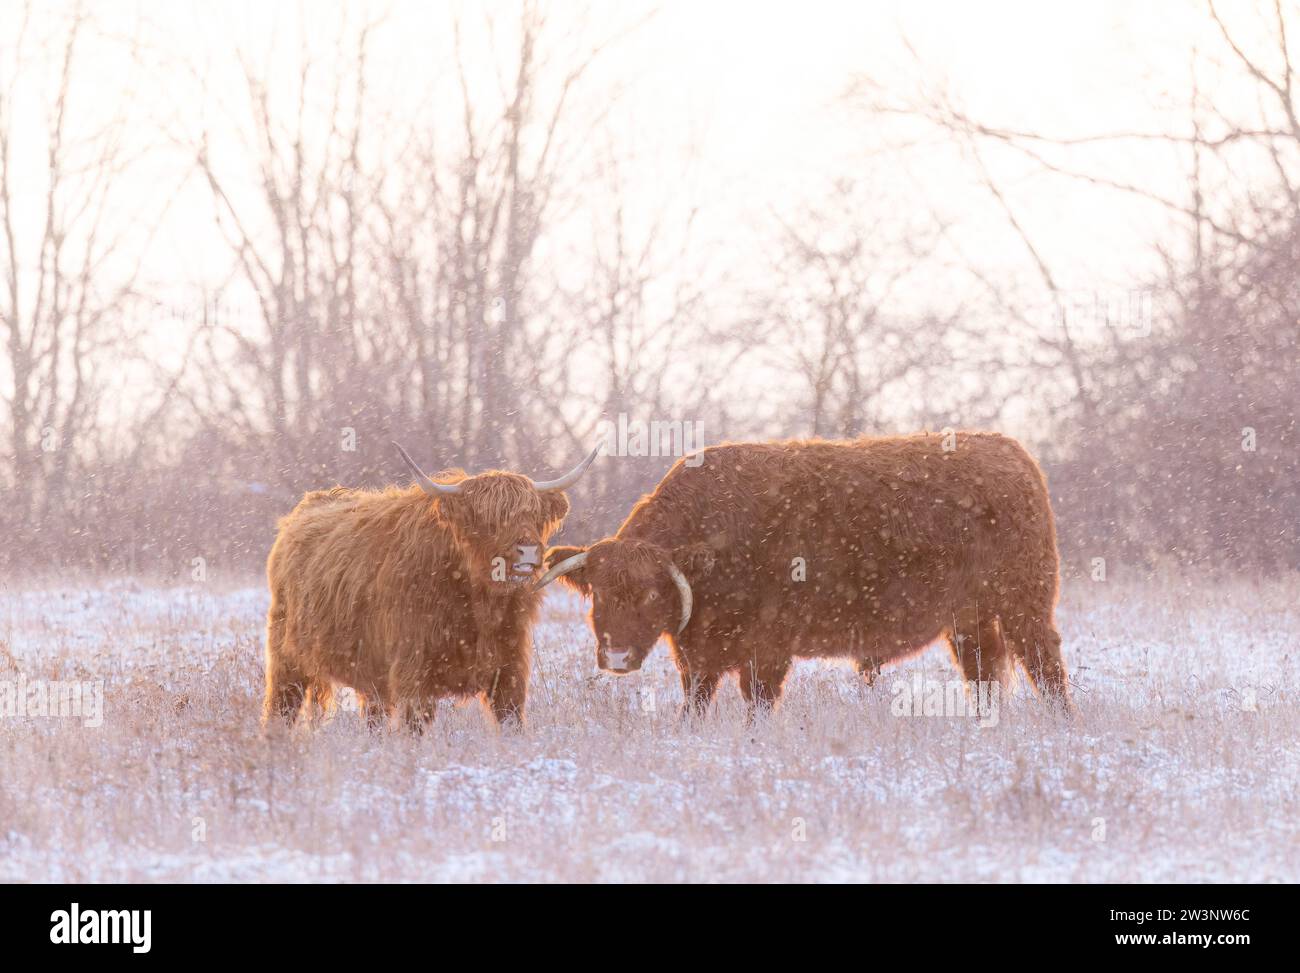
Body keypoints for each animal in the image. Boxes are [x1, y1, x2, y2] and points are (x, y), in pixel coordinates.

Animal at [263, 441, 599, 731]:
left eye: (533, 514)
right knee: (280, 709)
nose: (528, 552)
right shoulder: (414, 674)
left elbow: (511, 721)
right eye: (488, 520)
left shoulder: (509, 669)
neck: (479, 604)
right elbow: (414, 727)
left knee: (373, 717)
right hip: (286, 659)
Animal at [537, 432, 1068, 717]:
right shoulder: (698, 656)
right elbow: (695, 705)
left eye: (650, 594)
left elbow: (757, 705)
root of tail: (1010, 451)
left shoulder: (768, 650)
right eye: (599, 595)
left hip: (1026, 607)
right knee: (985, 676)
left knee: (1047, 670)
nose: (617, 657)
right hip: (970, 623)